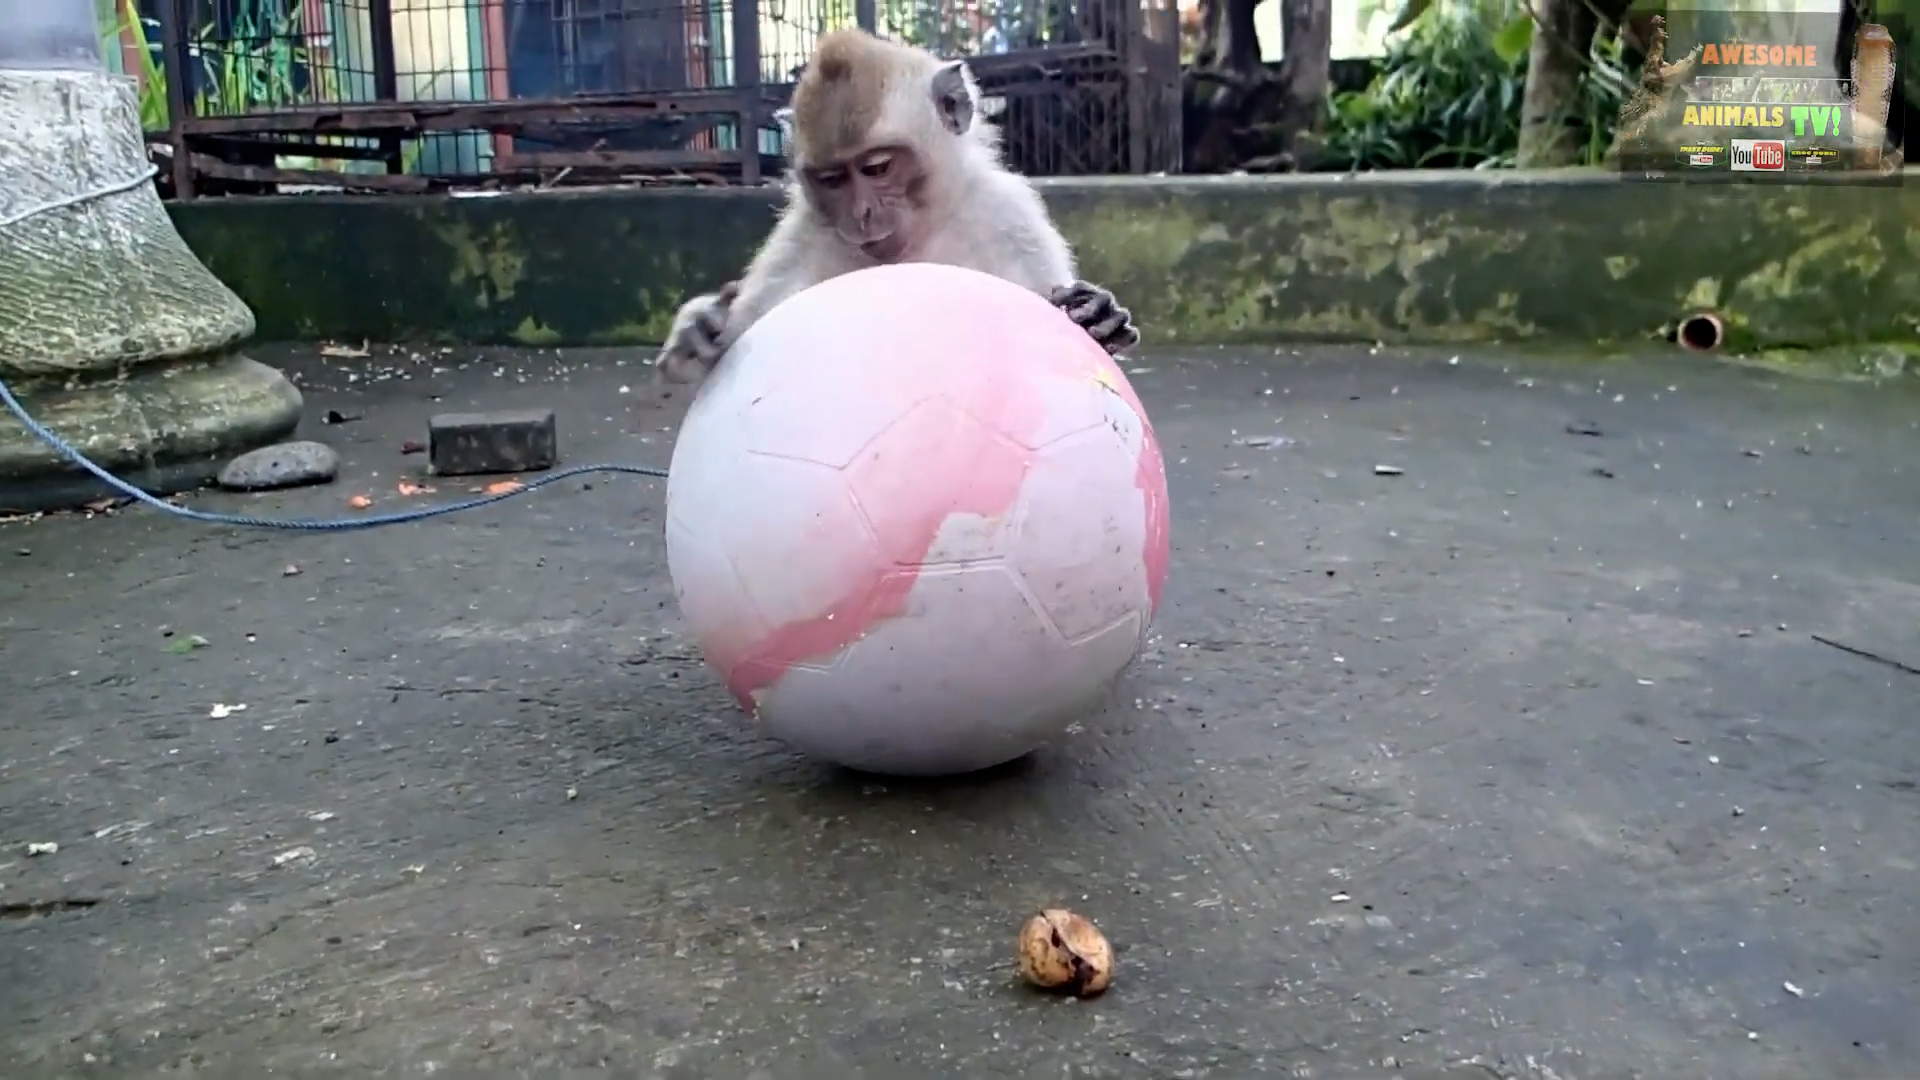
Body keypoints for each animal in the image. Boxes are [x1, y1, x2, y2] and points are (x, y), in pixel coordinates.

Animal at [653, 29, 1138, 384]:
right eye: (832, 180)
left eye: (877, 167)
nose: (861, 214)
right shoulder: (800, 238)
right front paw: (697, 329)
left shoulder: (1009, 217)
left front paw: (1098, 318)